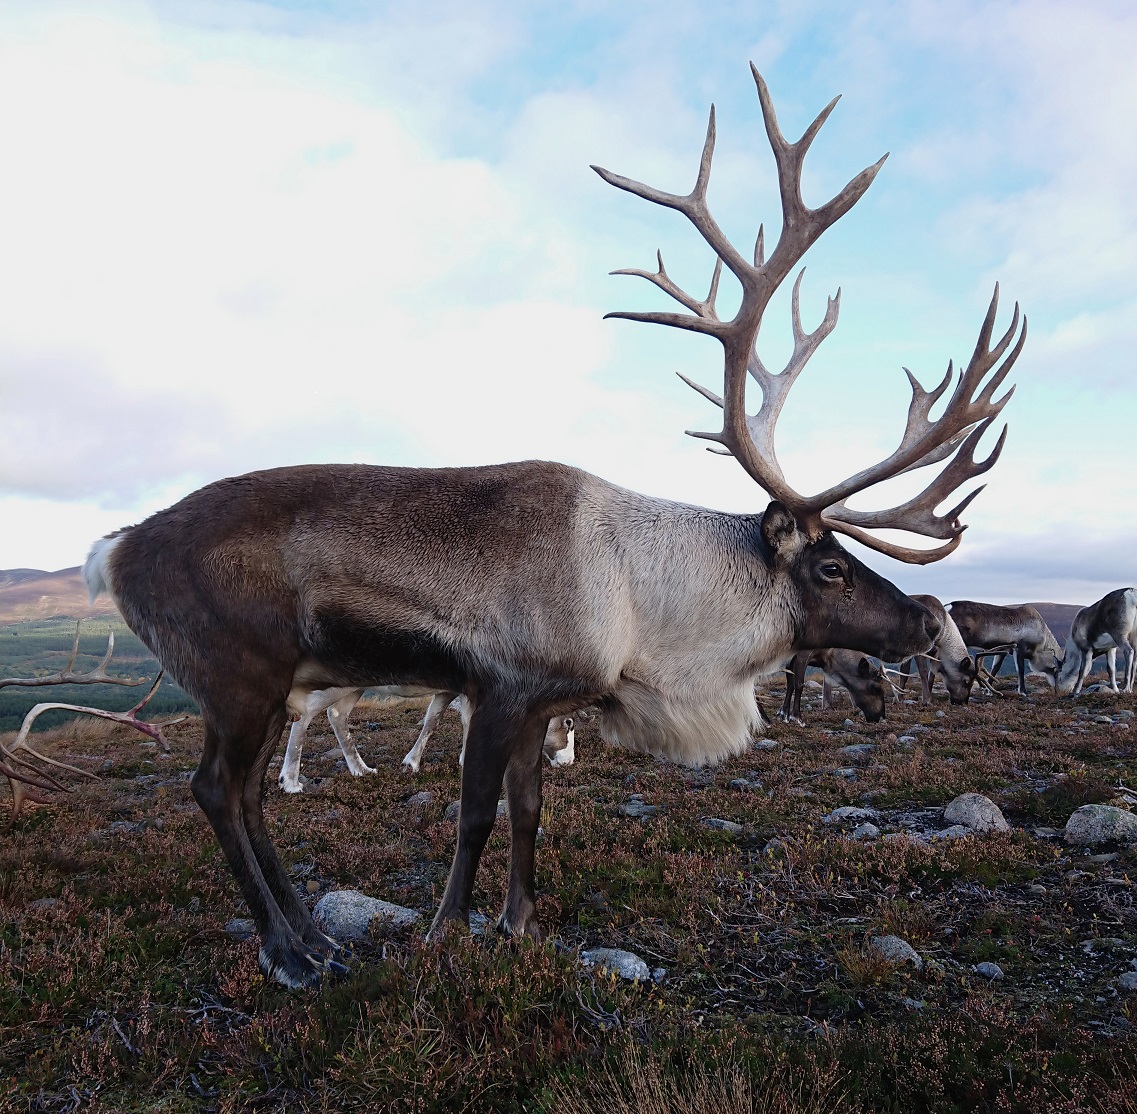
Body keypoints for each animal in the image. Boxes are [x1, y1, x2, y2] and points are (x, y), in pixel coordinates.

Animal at [276, 684, 575, 792]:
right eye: (569, 723)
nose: (569, 761)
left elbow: (433, 719)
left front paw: (412, 763)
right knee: (305, 714)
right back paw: (290, 781)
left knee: (337, 715)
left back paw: (361, 769)